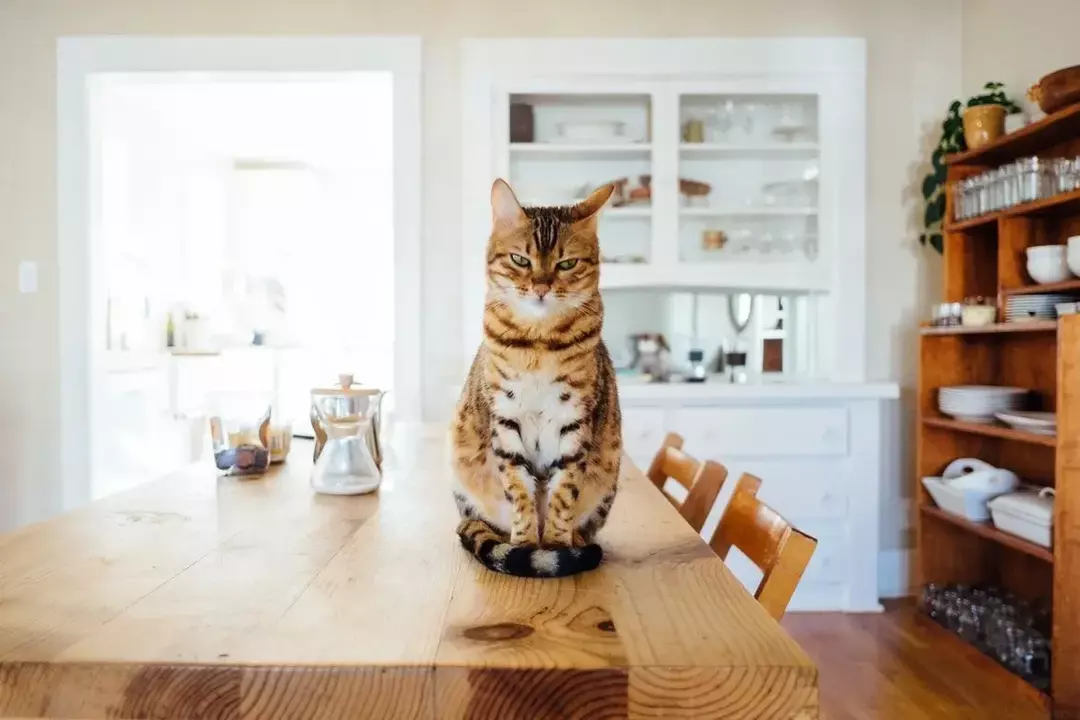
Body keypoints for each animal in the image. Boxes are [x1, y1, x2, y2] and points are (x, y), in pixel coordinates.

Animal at [451, 180, 626, 578]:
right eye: (520, 260)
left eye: (567, 263)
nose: (541, 287)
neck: (539, 343)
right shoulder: (505, 418)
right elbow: (519, 491)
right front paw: (526, 545)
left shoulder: (575, 421)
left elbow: (564, 493)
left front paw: (558, 546)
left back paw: (575, 542)